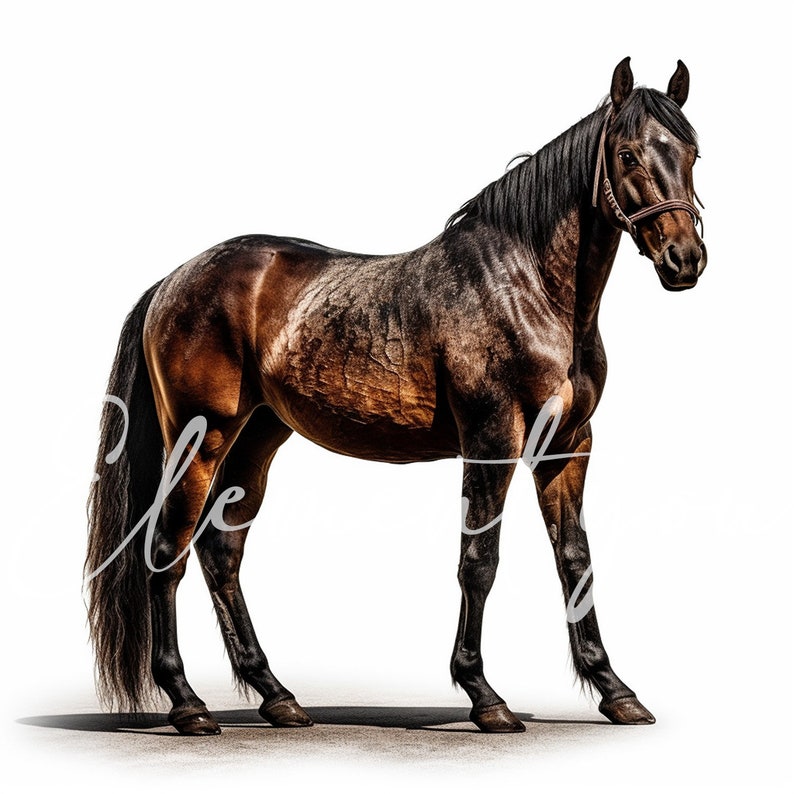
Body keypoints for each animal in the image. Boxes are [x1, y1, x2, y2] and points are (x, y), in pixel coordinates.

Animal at [85, 57, 706, 736]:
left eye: (692, 151)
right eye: (627, 153)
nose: (685, 260)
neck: (530, 285)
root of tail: (173, 280)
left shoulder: (567, 446)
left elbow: (574, 559)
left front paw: (615, 691)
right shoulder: (493, 438)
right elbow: (479, 561)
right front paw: (484, 696)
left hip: (257, 437)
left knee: (221, 552)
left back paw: (278, 697)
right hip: (200, 437)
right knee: (166, 548)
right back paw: (187, 704)